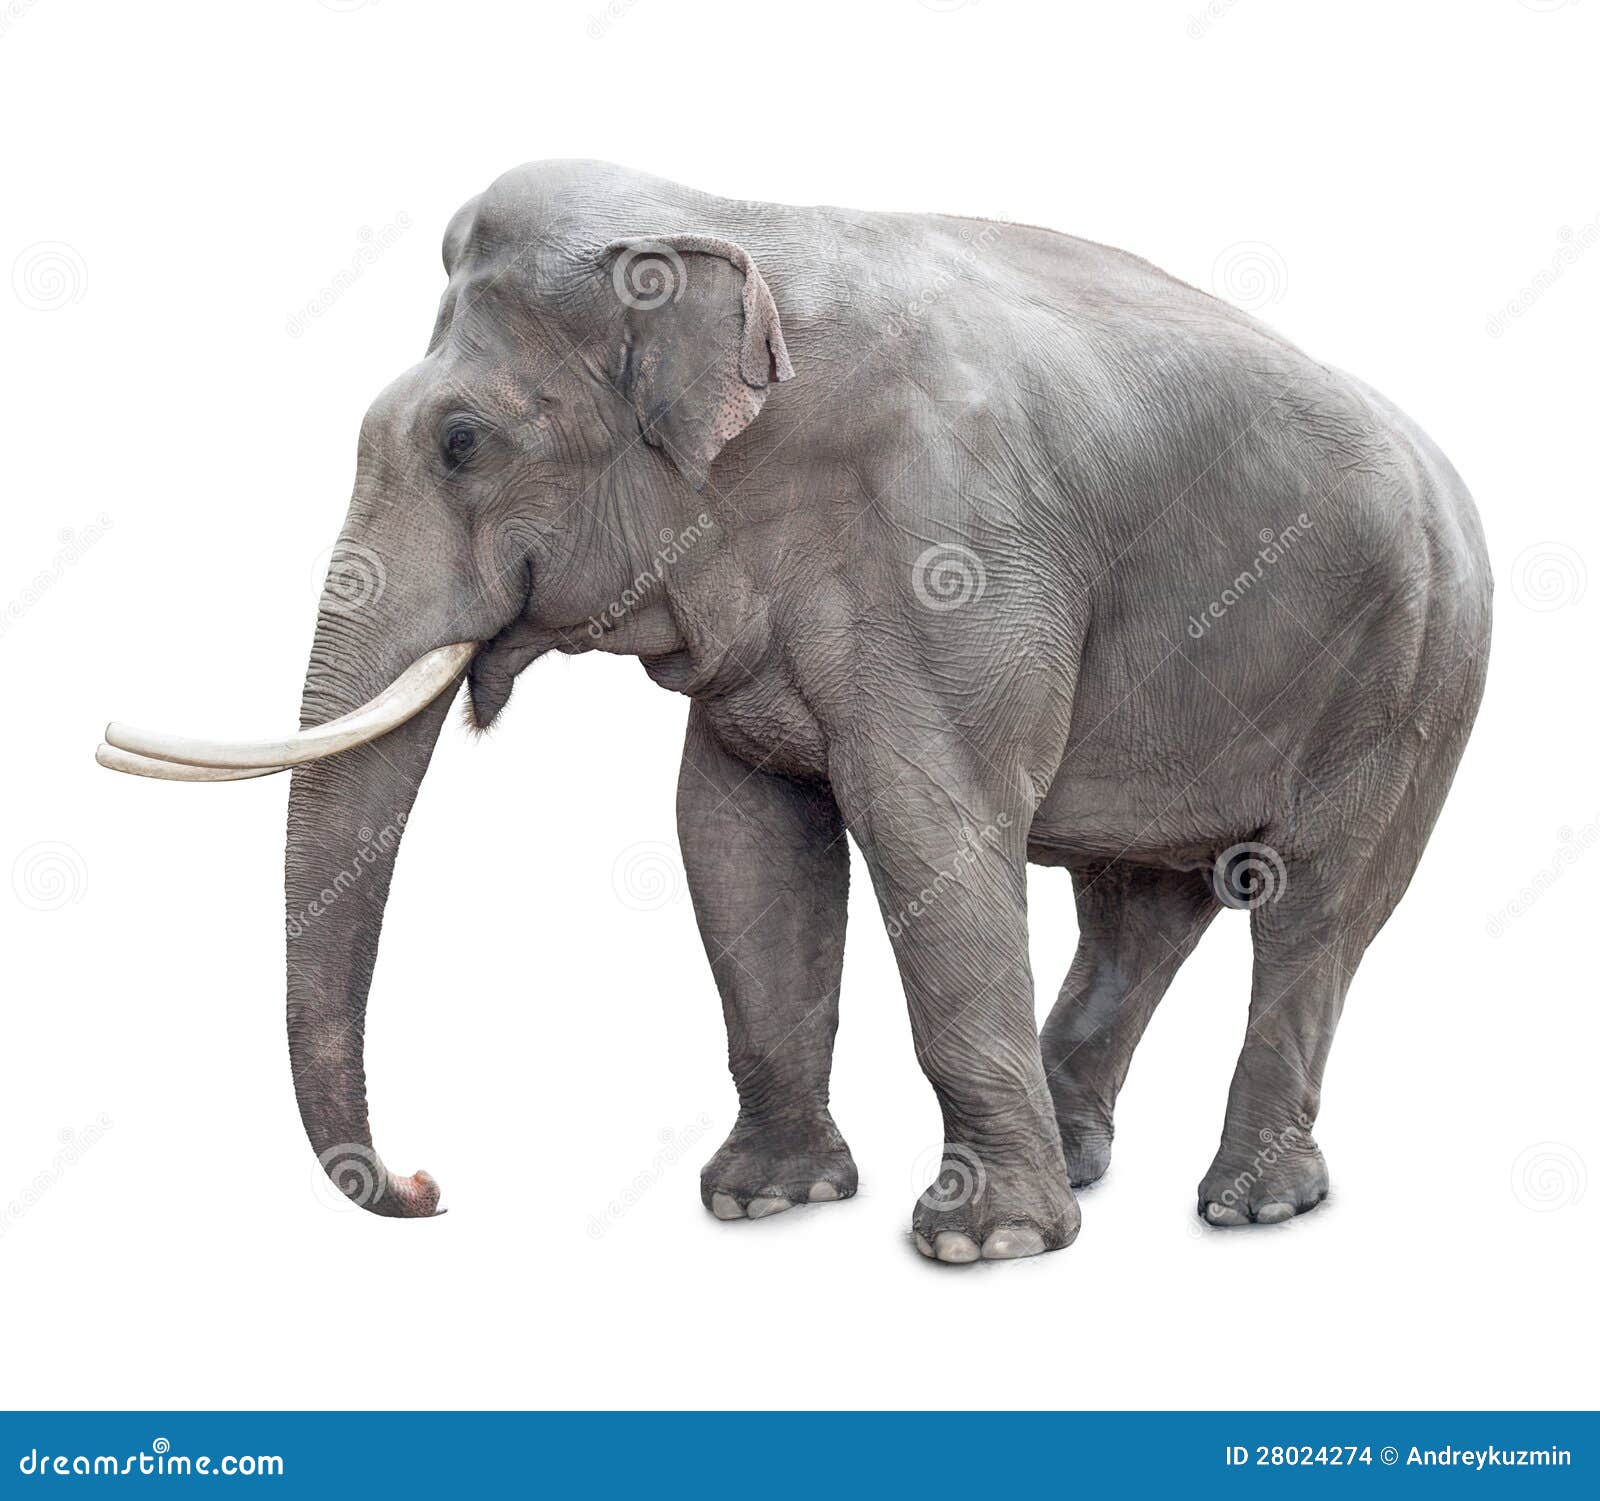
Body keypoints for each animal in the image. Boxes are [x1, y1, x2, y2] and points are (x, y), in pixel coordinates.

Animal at [99, 160, 1491, 1263]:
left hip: (1415, 675)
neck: (717, 219)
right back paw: (1082, 1153)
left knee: (1317, 905)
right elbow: (735, 835)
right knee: (1137, 907)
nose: (428, 1186)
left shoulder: (953, 555)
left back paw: (1250, 1206)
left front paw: (980, 1244)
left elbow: (930, 831)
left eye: (459, 442)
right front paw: (766, 1202)